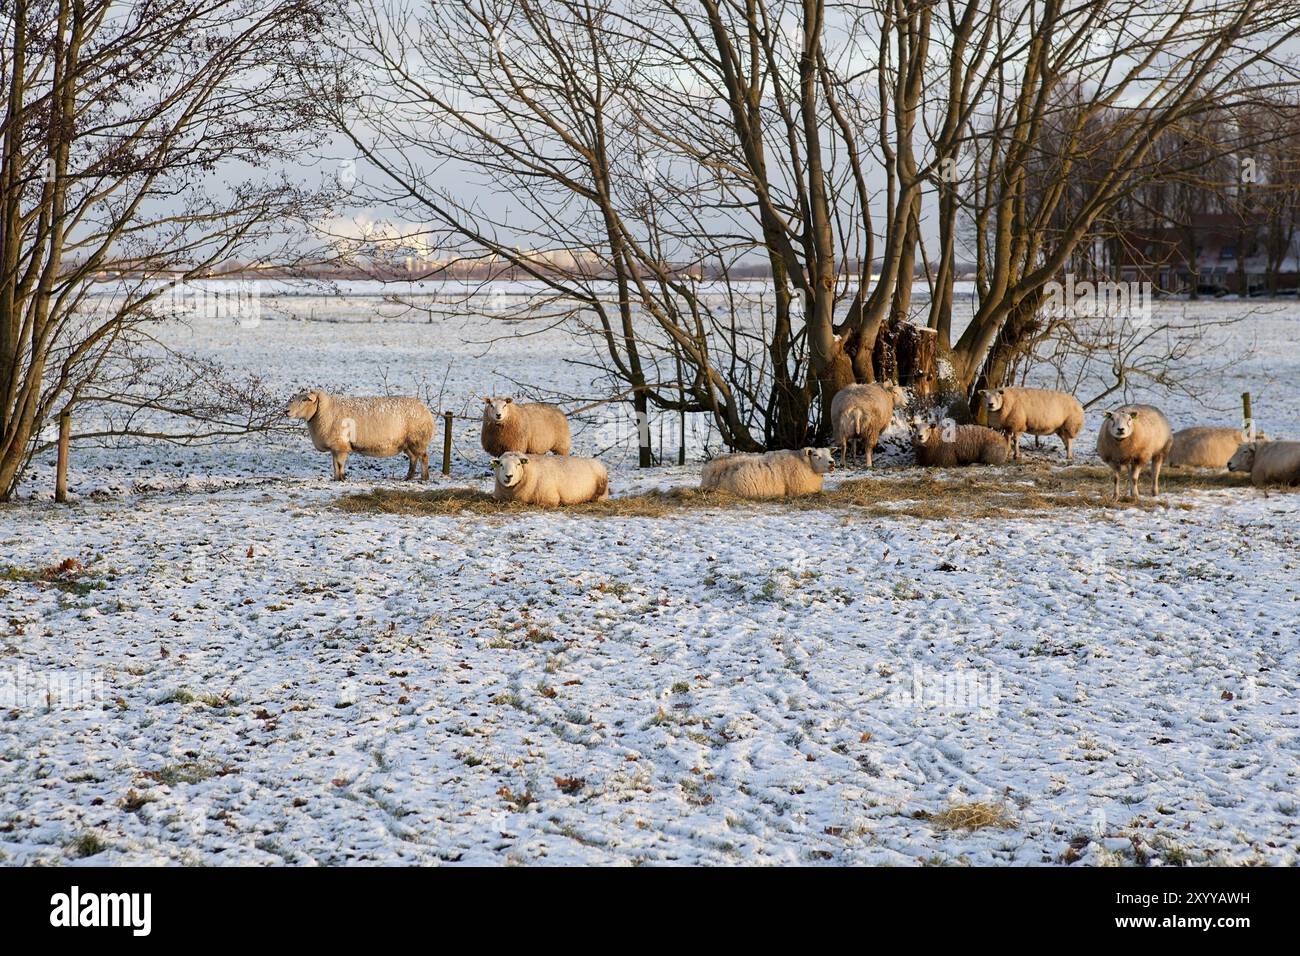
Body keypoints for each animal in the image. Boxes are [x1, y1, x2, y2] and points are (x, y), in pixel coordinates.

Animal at [286, 389, 435, 481]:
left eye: (305, 399)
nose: (286, 411)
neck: (325, 412)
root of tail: (426, 410)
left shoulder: (341, 446)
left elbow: (339, 464)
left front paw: (341, 479)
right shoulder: (335, 447)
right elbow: (335, 465)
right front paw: (336, 478)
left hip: (417, 440)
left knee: (424, 457)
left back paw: (424, 478)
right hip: (407, 443)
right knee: (413, 458)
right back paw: (408, 477)